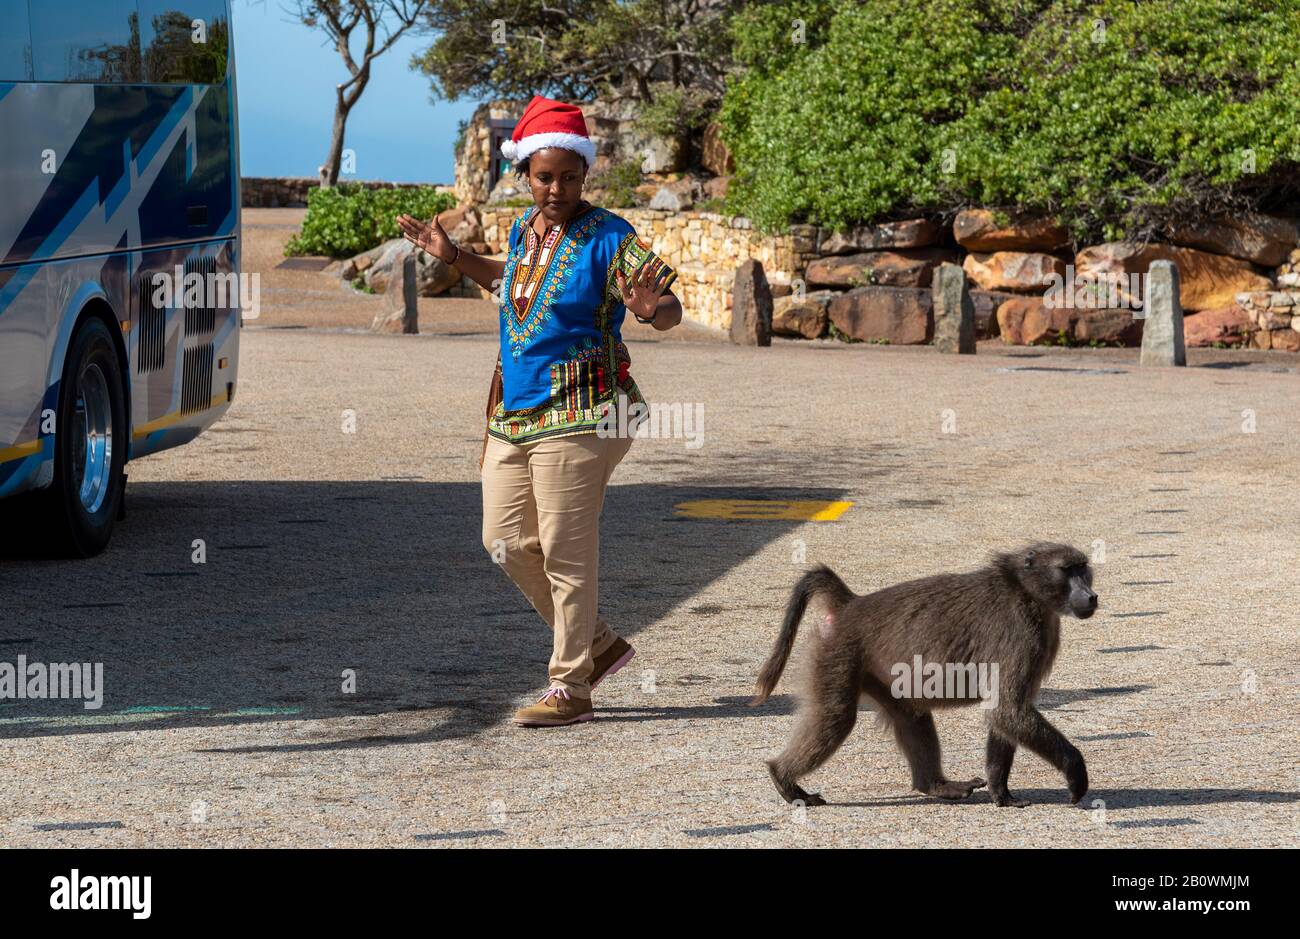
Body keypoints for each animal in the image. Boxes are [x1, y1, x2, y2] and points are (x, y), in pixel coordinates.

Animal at [750, 542, 1097, 808]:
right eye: (1068, 570)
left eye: (1083, 568)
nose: (1091, 596)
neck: (1026, 590)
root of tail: (851, 603)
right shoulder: (1020, 634)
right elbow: (1007, 710)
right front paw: (1075, 774)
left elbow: (1005, 715)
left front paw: (1002, 794)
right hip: (837, 656)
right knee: (835, 717)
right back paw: (784, 780)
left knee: (910, 715)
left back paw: (936, 786)